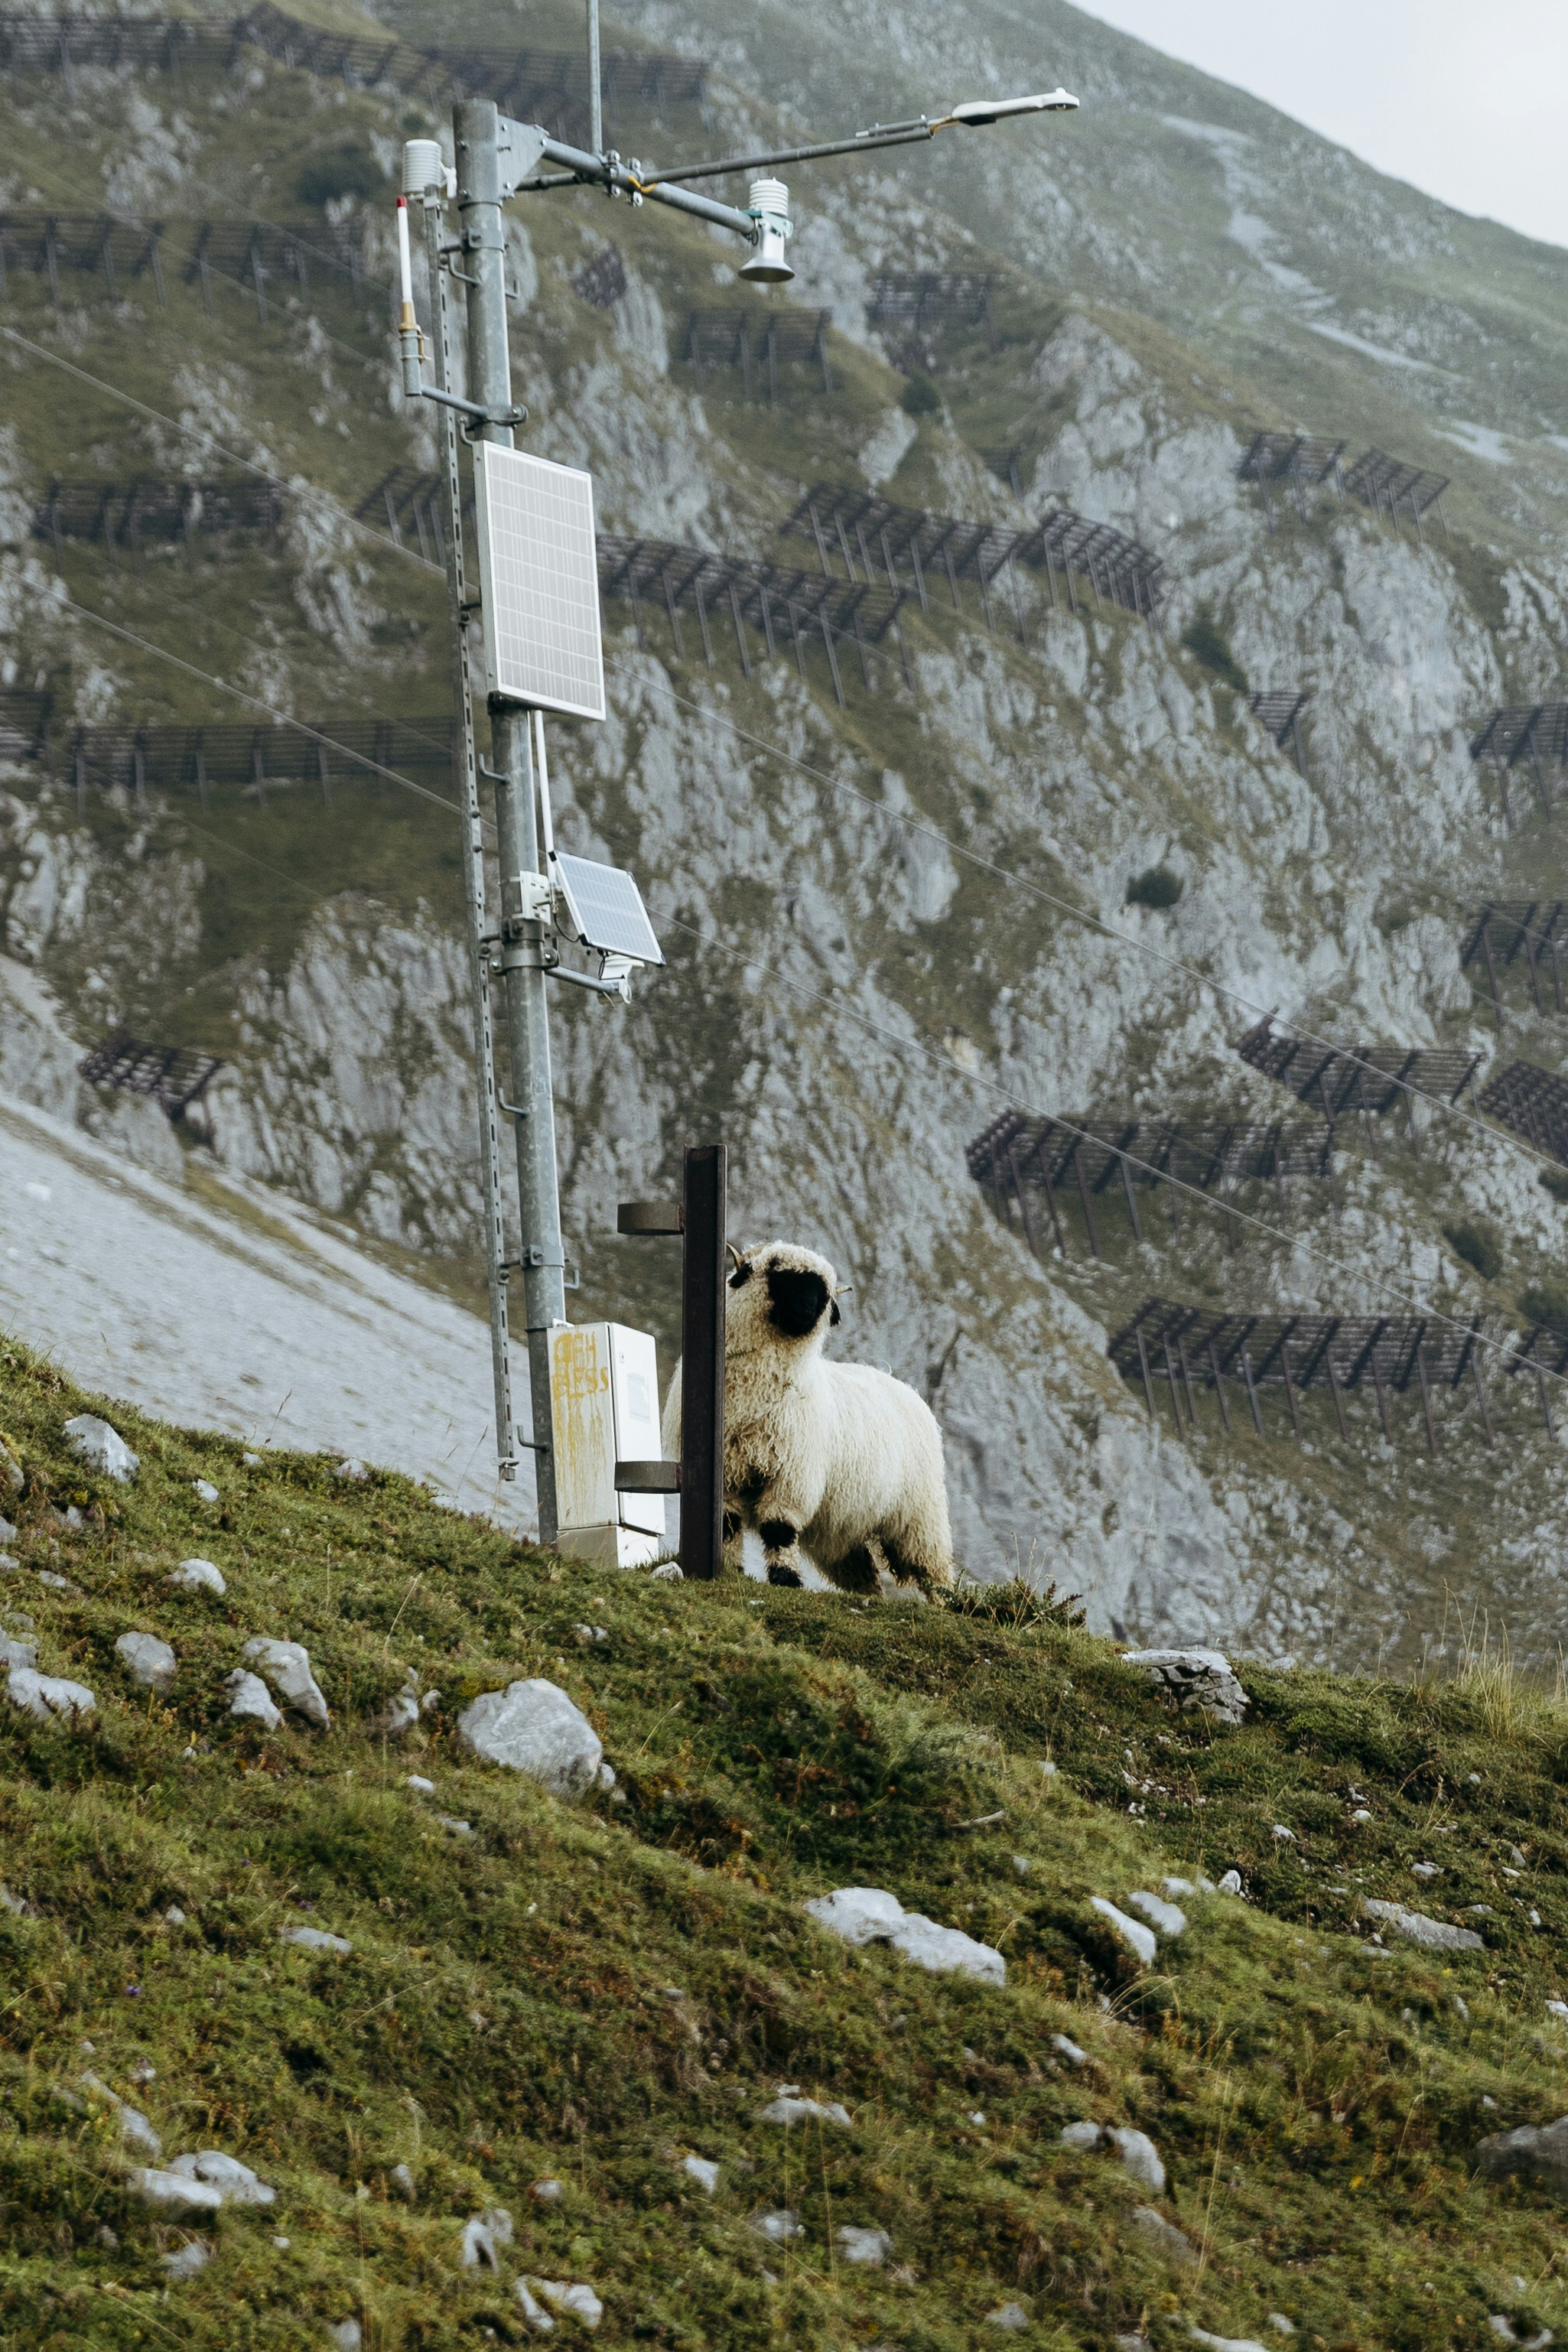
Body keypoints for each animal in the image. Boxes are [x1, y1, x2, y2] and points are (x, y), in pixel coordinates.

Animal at [661, 1239, 953, 1593]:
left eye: (824, 1295)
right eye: (783, 1279)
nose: (808, 1308)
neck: (756, 1389)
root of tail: (904, 1386)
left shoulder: (792, 1477)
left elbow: (779, 1528)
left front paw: (786, 1579)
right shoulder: (728, 1474)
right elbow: (727, 1525)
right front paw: (731, 1570)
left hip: (920, 1518)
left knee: (934, 1572)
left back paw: (948, 1599)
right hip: (843, 1532)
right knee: (864, 1574)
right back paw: (874, 1596)